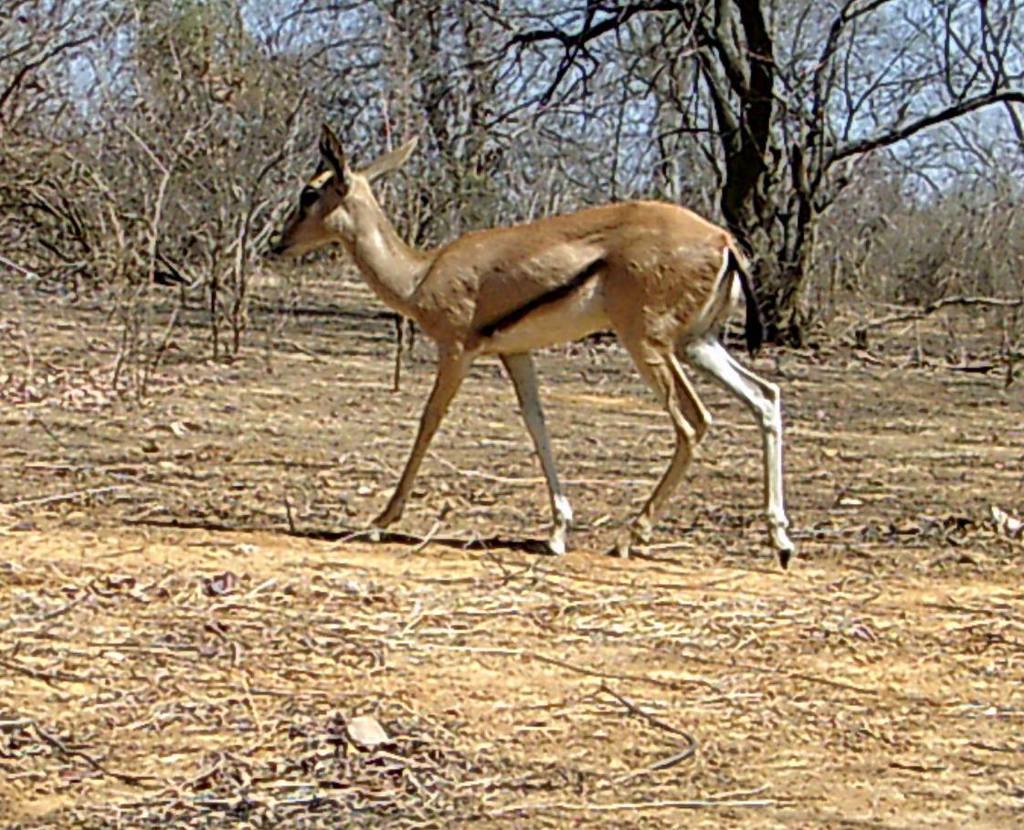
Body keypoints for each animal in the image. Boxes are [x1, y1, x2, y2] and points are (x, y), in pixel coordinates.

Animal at [270, 125, 795, 567]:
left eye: (310, 192)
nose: (279, 243)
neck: (421, 276)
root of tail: (723, 240)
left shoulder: (457, 351)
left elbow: (428, 420)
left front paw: (381, 520)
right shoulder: (515, 354)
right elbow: (536, 422)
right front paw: (558, 530)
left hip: (648, 345)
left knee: (693, 422)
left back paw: (631, 536)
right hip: (696, 345)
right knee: (765, 397)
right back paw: (781, 542)